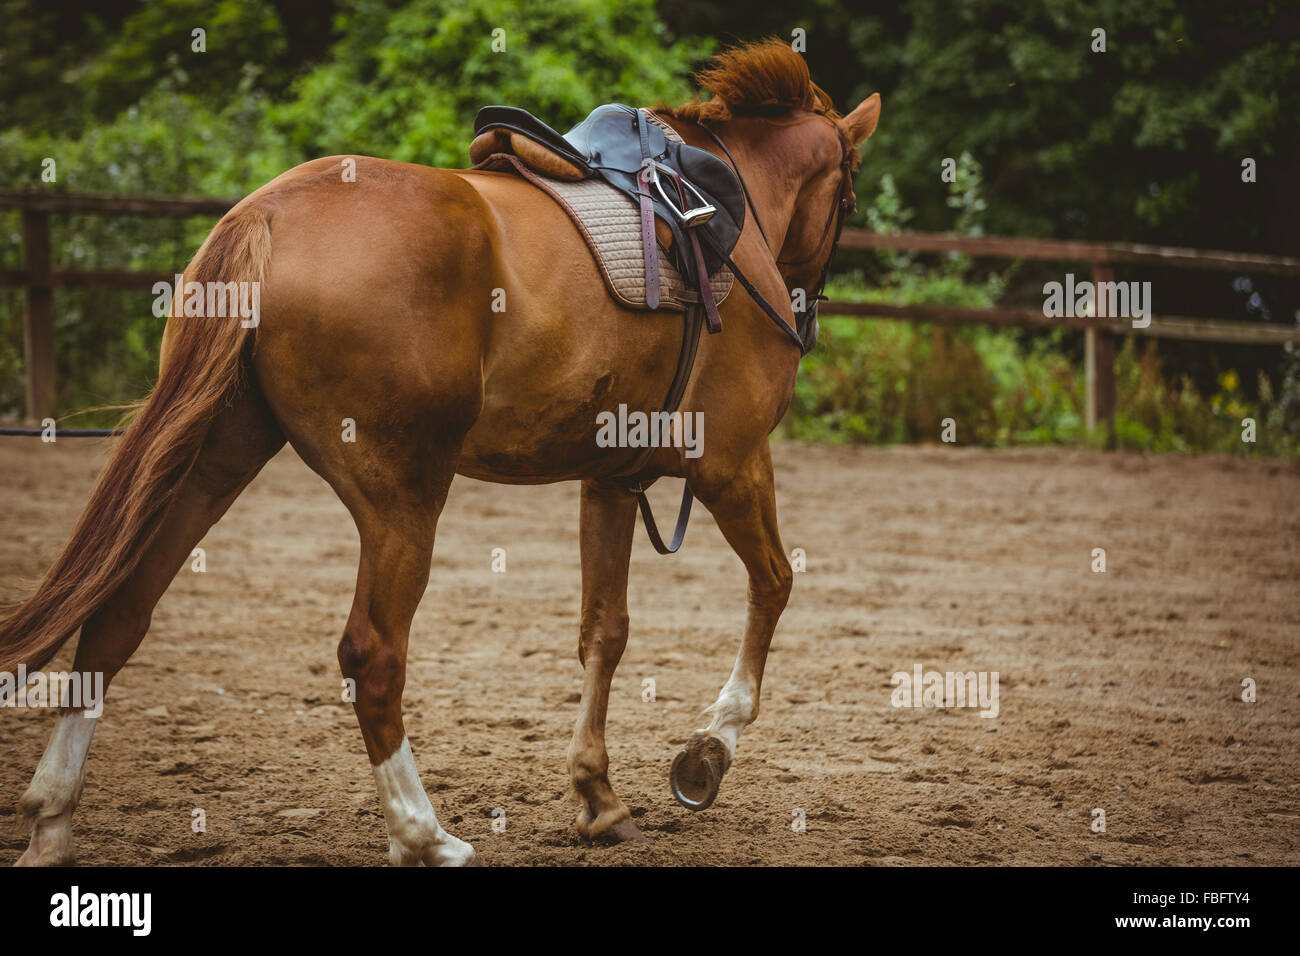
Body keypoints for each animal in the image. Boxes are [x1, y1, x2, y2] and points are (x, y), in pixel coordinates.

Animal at [1, 38, 880, 866]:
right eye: (848, 194)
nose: (806, 308)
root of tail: (272, 213)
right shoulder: (733, 463)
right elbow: (774, 585)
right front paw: (708, 750)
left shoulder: (611, 479)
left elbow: (605, 631)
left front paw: (597, 795)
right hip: (403, 496)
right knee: (374, 656)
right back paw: (424, 834)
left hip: (217, 454)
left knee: (118, 614)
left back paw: (53, 819)